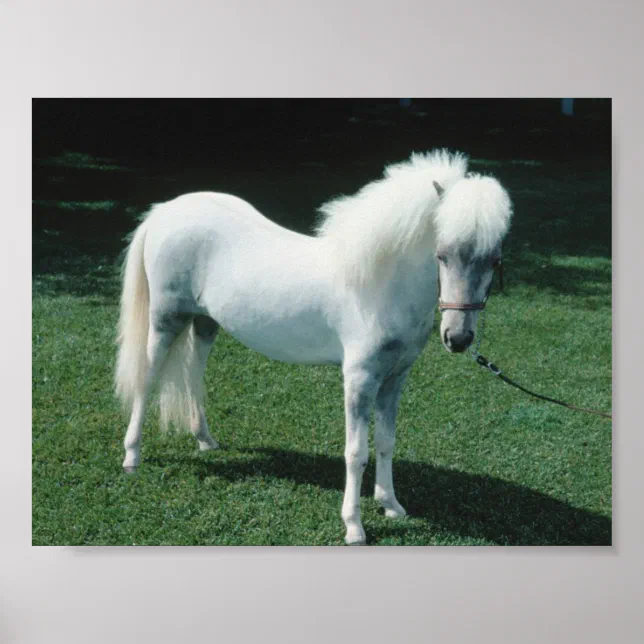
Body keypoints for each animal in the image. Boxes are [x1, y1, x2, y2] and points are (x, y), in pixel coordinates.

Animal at [115, 149, 512, 545]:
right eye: (442, 255)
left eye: (494, 260)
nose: (458, 338)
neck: (379, 284)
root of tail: (165, 210)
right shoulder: (359, 379)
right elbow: (357, 452)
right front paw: (354, 526)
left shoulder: (395, 378)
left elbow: (386, 441)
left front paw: (391, 505)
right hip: (166, 321)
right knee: (146, 379)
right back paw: (132, 456)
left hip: (205, 323)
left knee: (194, 374)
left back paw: (205, 440)